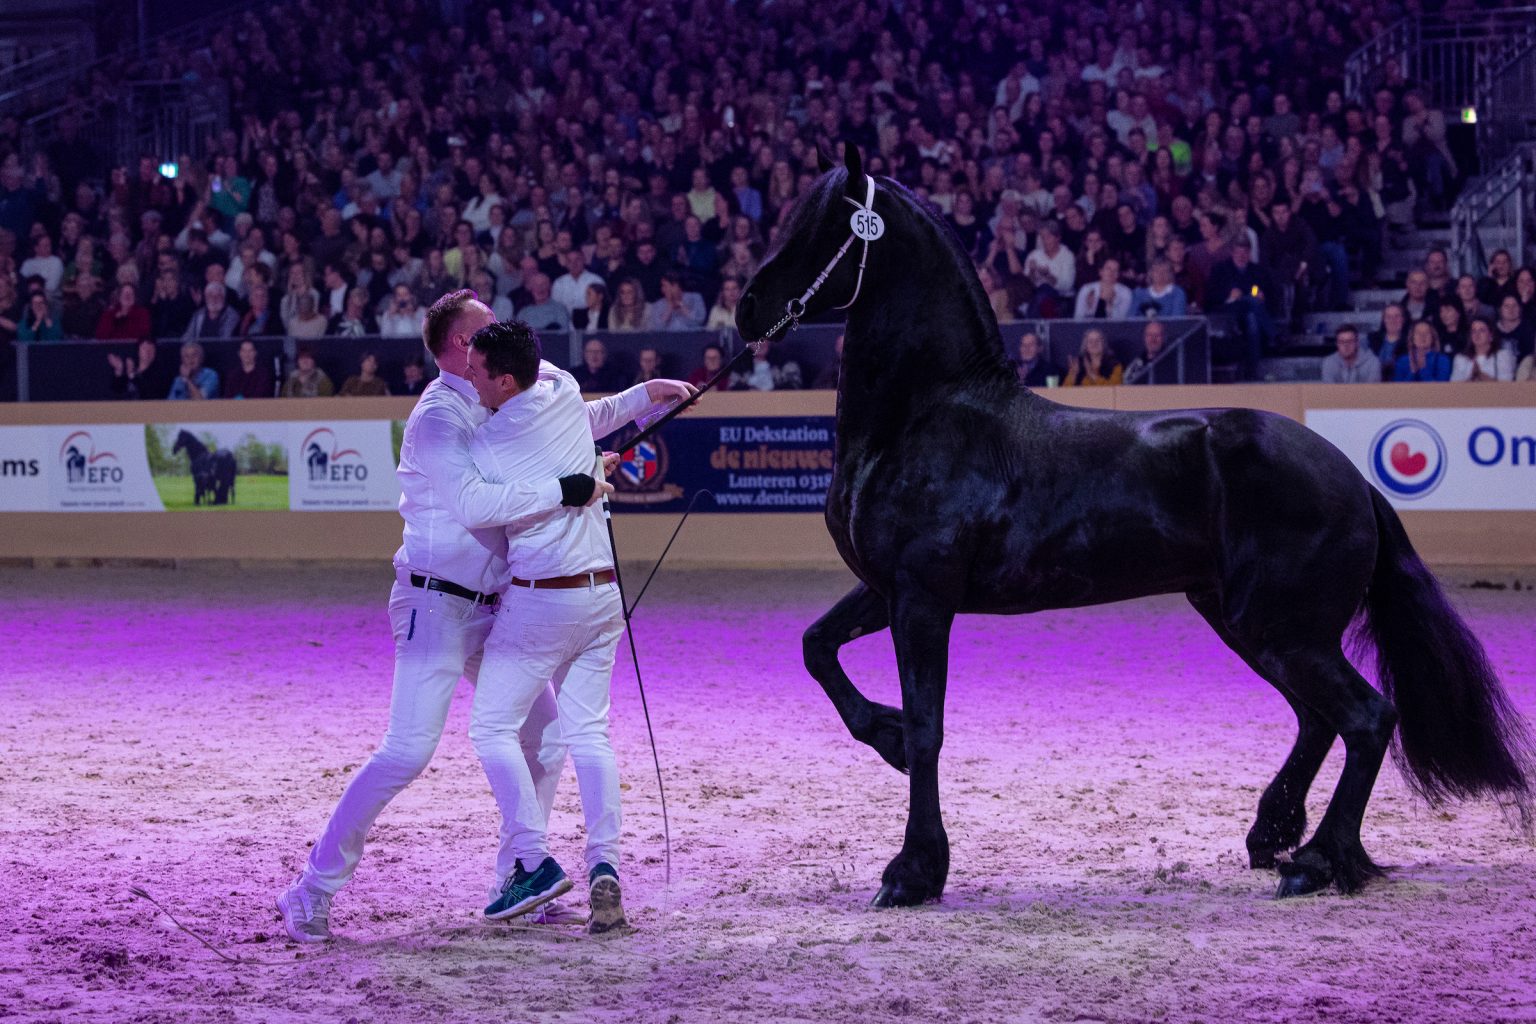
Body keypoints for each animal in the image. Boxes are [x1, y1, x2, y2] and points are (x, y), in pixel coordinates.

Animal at [736, 146, 1532, 908]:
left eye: (824, 227)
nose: (746, 311)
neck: (927, 416)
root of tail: (1356, 480)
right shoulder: (888, 588)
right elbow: (817, 647)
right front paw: (888, 738)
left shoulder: (924, 597)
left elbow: (929, 724)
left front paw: (912, 872)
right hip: (1249, 623)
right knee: (1319, 720)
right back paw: (1274, 836)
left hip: (1281, 628)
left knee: (1366, 717)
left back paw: (1314, 863)